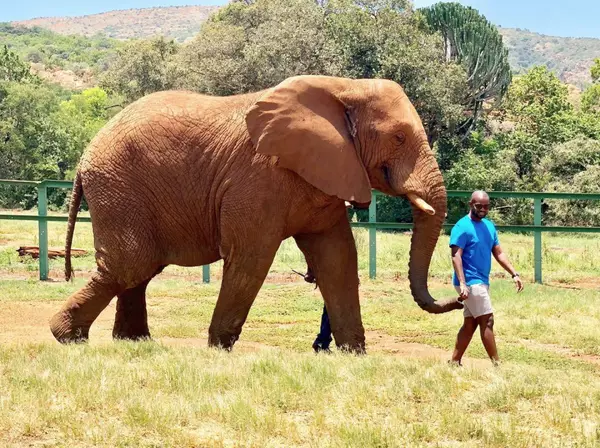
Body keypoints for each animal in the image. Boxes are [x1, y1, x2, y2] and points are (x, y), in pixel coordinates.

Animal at [49, 75, 462, 352]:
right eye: (399, 137)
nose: (458, 299)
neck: (344, 86)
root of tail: (84, 159)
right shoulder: (259, 177)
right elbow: (252, 257)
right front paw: (218, 350)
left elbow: (338, 259)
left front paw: (354, 355)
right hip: (119, 189)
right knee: (130, 266)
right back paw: (67, 337)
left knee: (139, 269)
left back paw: (135, 345)